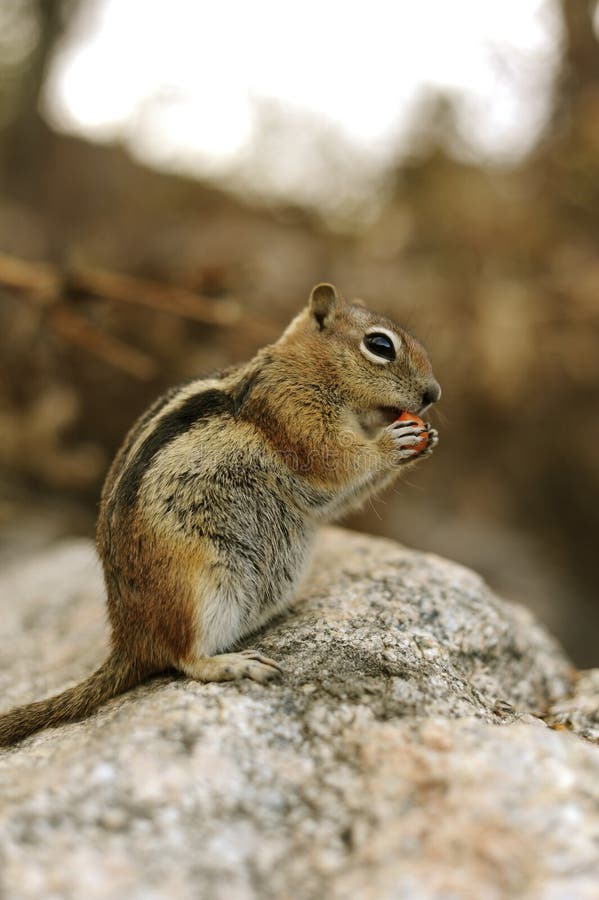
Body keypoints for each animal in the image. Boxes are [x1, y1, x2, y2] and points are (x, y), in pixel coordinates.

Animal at [0, 283, 440, 746]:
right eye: (380, 345)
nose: (434, 395)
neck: (302, 368)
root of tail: (129, 640)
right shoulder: (292, 414)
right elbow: (337, 460)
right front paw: (392, 442)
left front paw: (425, 441)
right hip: (201, 583)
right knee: (183, 659)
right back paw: (233, 663)